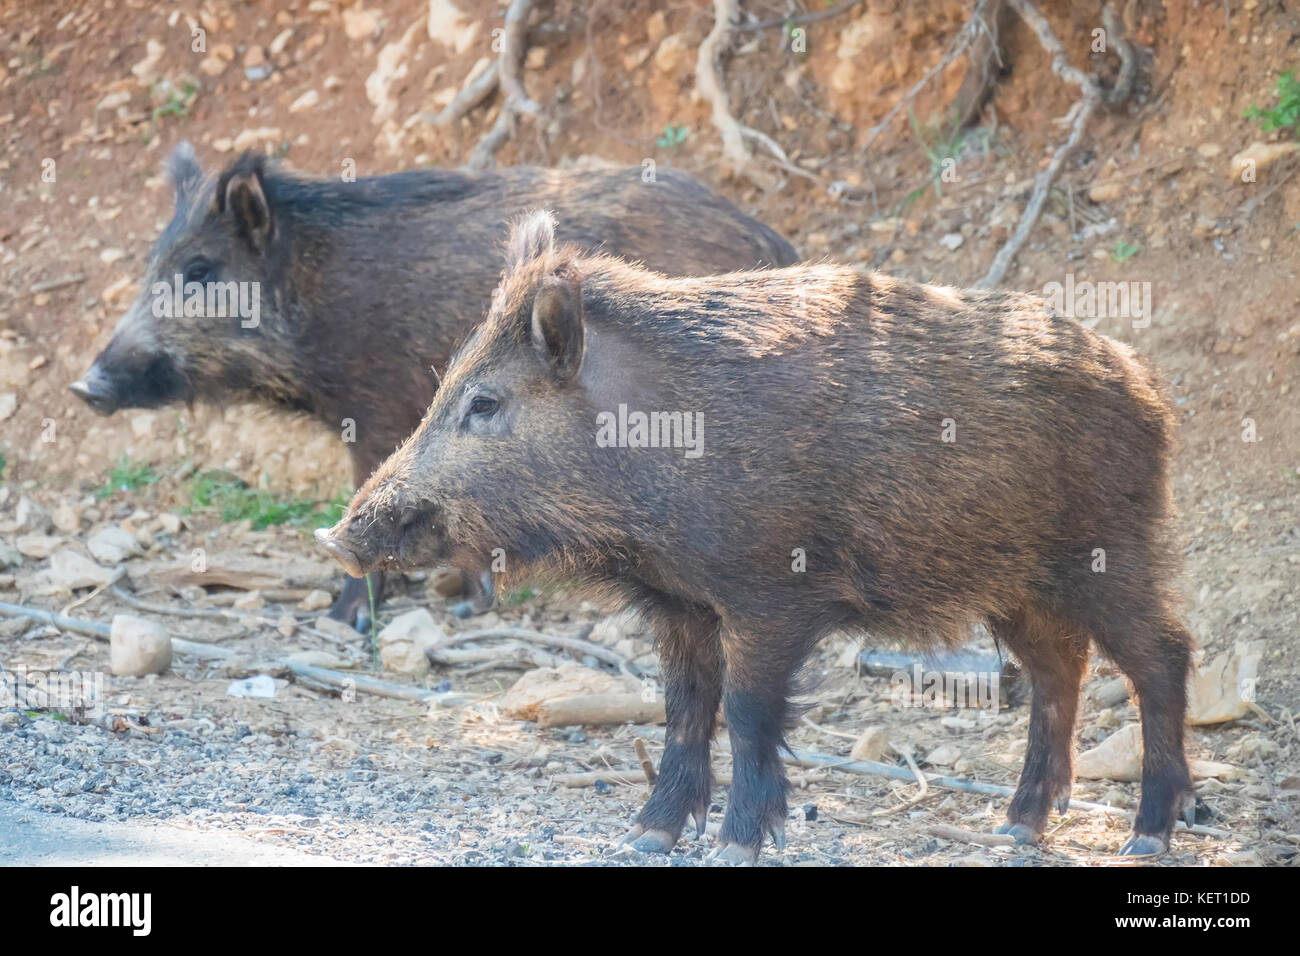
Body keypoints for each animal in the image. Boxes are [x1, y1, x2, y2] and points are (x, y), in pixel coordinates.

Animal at [71, 143, 798, 630]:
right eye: (151, 265)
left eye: (199, 271)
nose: (84, 387)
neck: (313, 298)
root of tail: (775, 241)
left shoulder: (375, 412)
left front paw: (346, 617)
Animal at [317, 210, 1195, 862]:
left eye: (486, 404)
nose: (339, 535)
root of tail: (1146, 384)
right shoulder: (678, 603)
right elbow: (681, 709)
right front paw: (645, 838)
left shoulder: (772, 593)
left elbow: (744, 711)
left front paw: (738, 845)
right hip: (1014, 585)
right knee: (1059, 673)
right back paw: (1016, 829)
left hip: (1111, 554)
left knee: (1163, 657)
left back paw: (1147, 838)